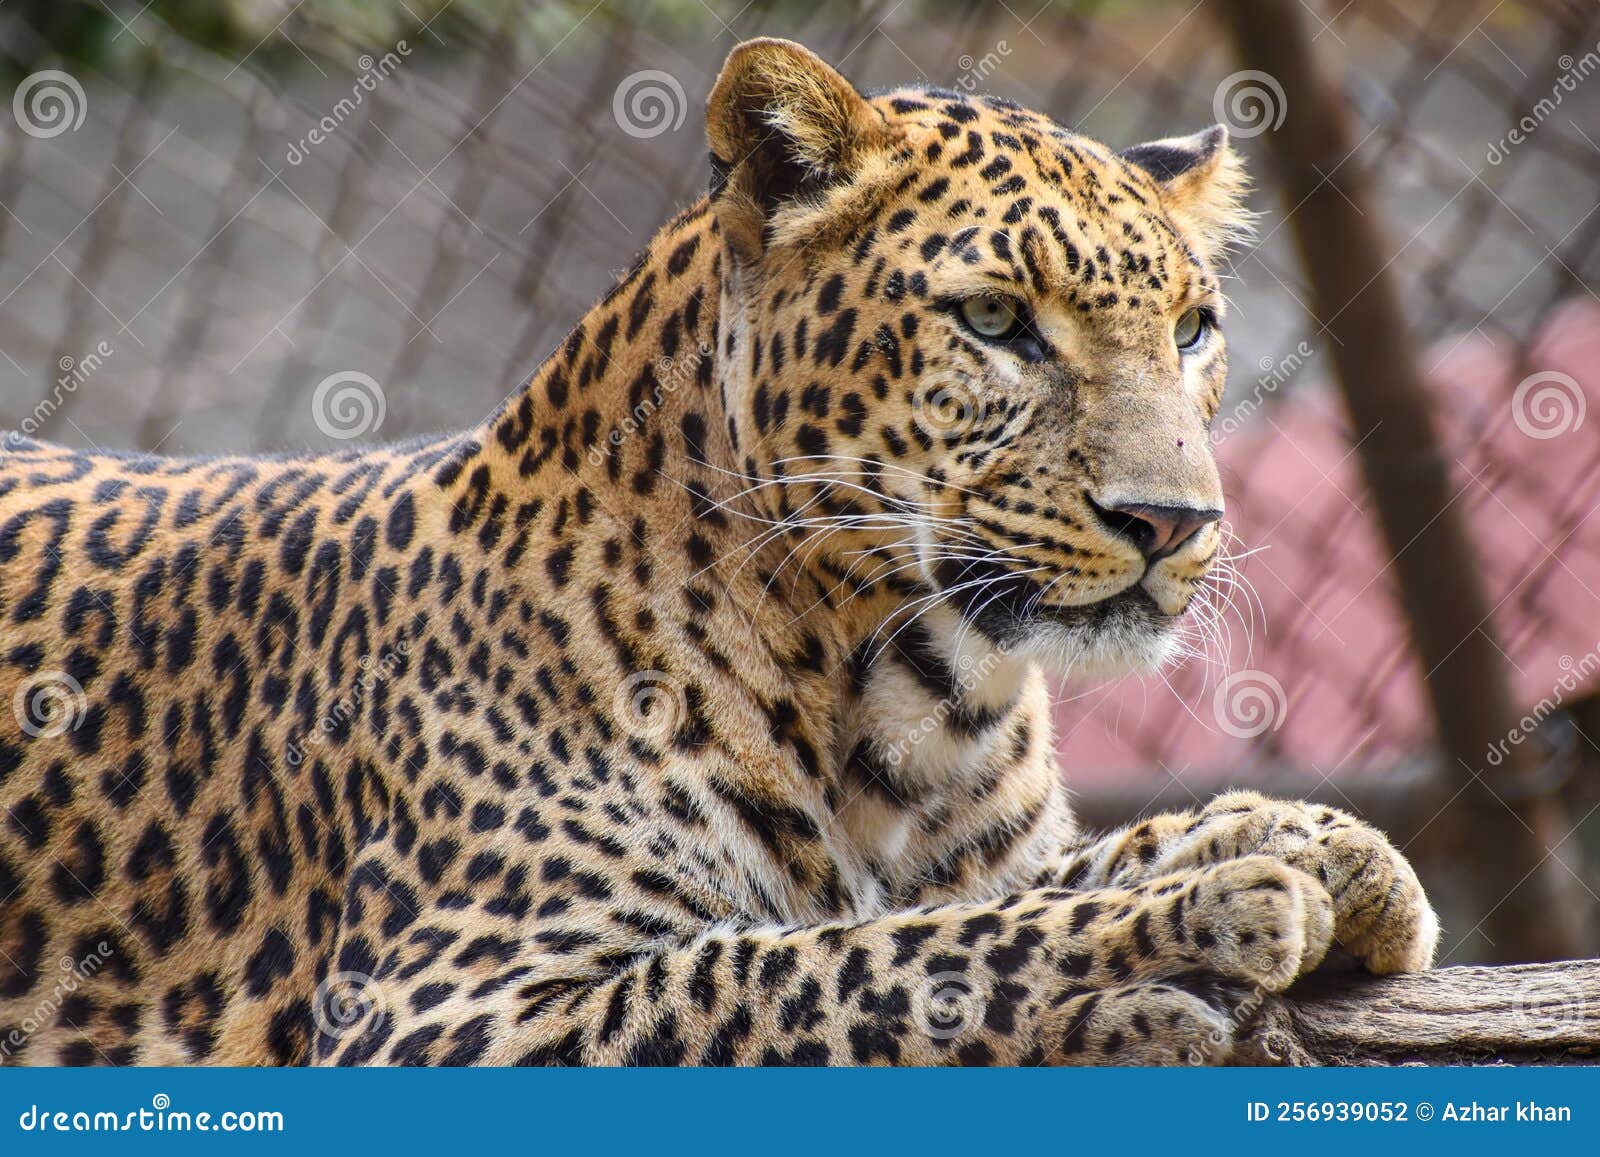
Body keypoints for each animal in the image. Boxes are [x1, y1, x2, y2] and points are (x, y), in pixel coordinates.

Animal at [0, 37, 1438, 1067]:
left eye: (1193, 329)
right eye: (995, 321)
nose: (1173, 521)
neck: (920, 696)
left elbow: (976, 894)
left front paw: (1309, 842)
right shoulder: (455, 1008)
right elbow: (835, 956)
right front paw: (1170, 933)